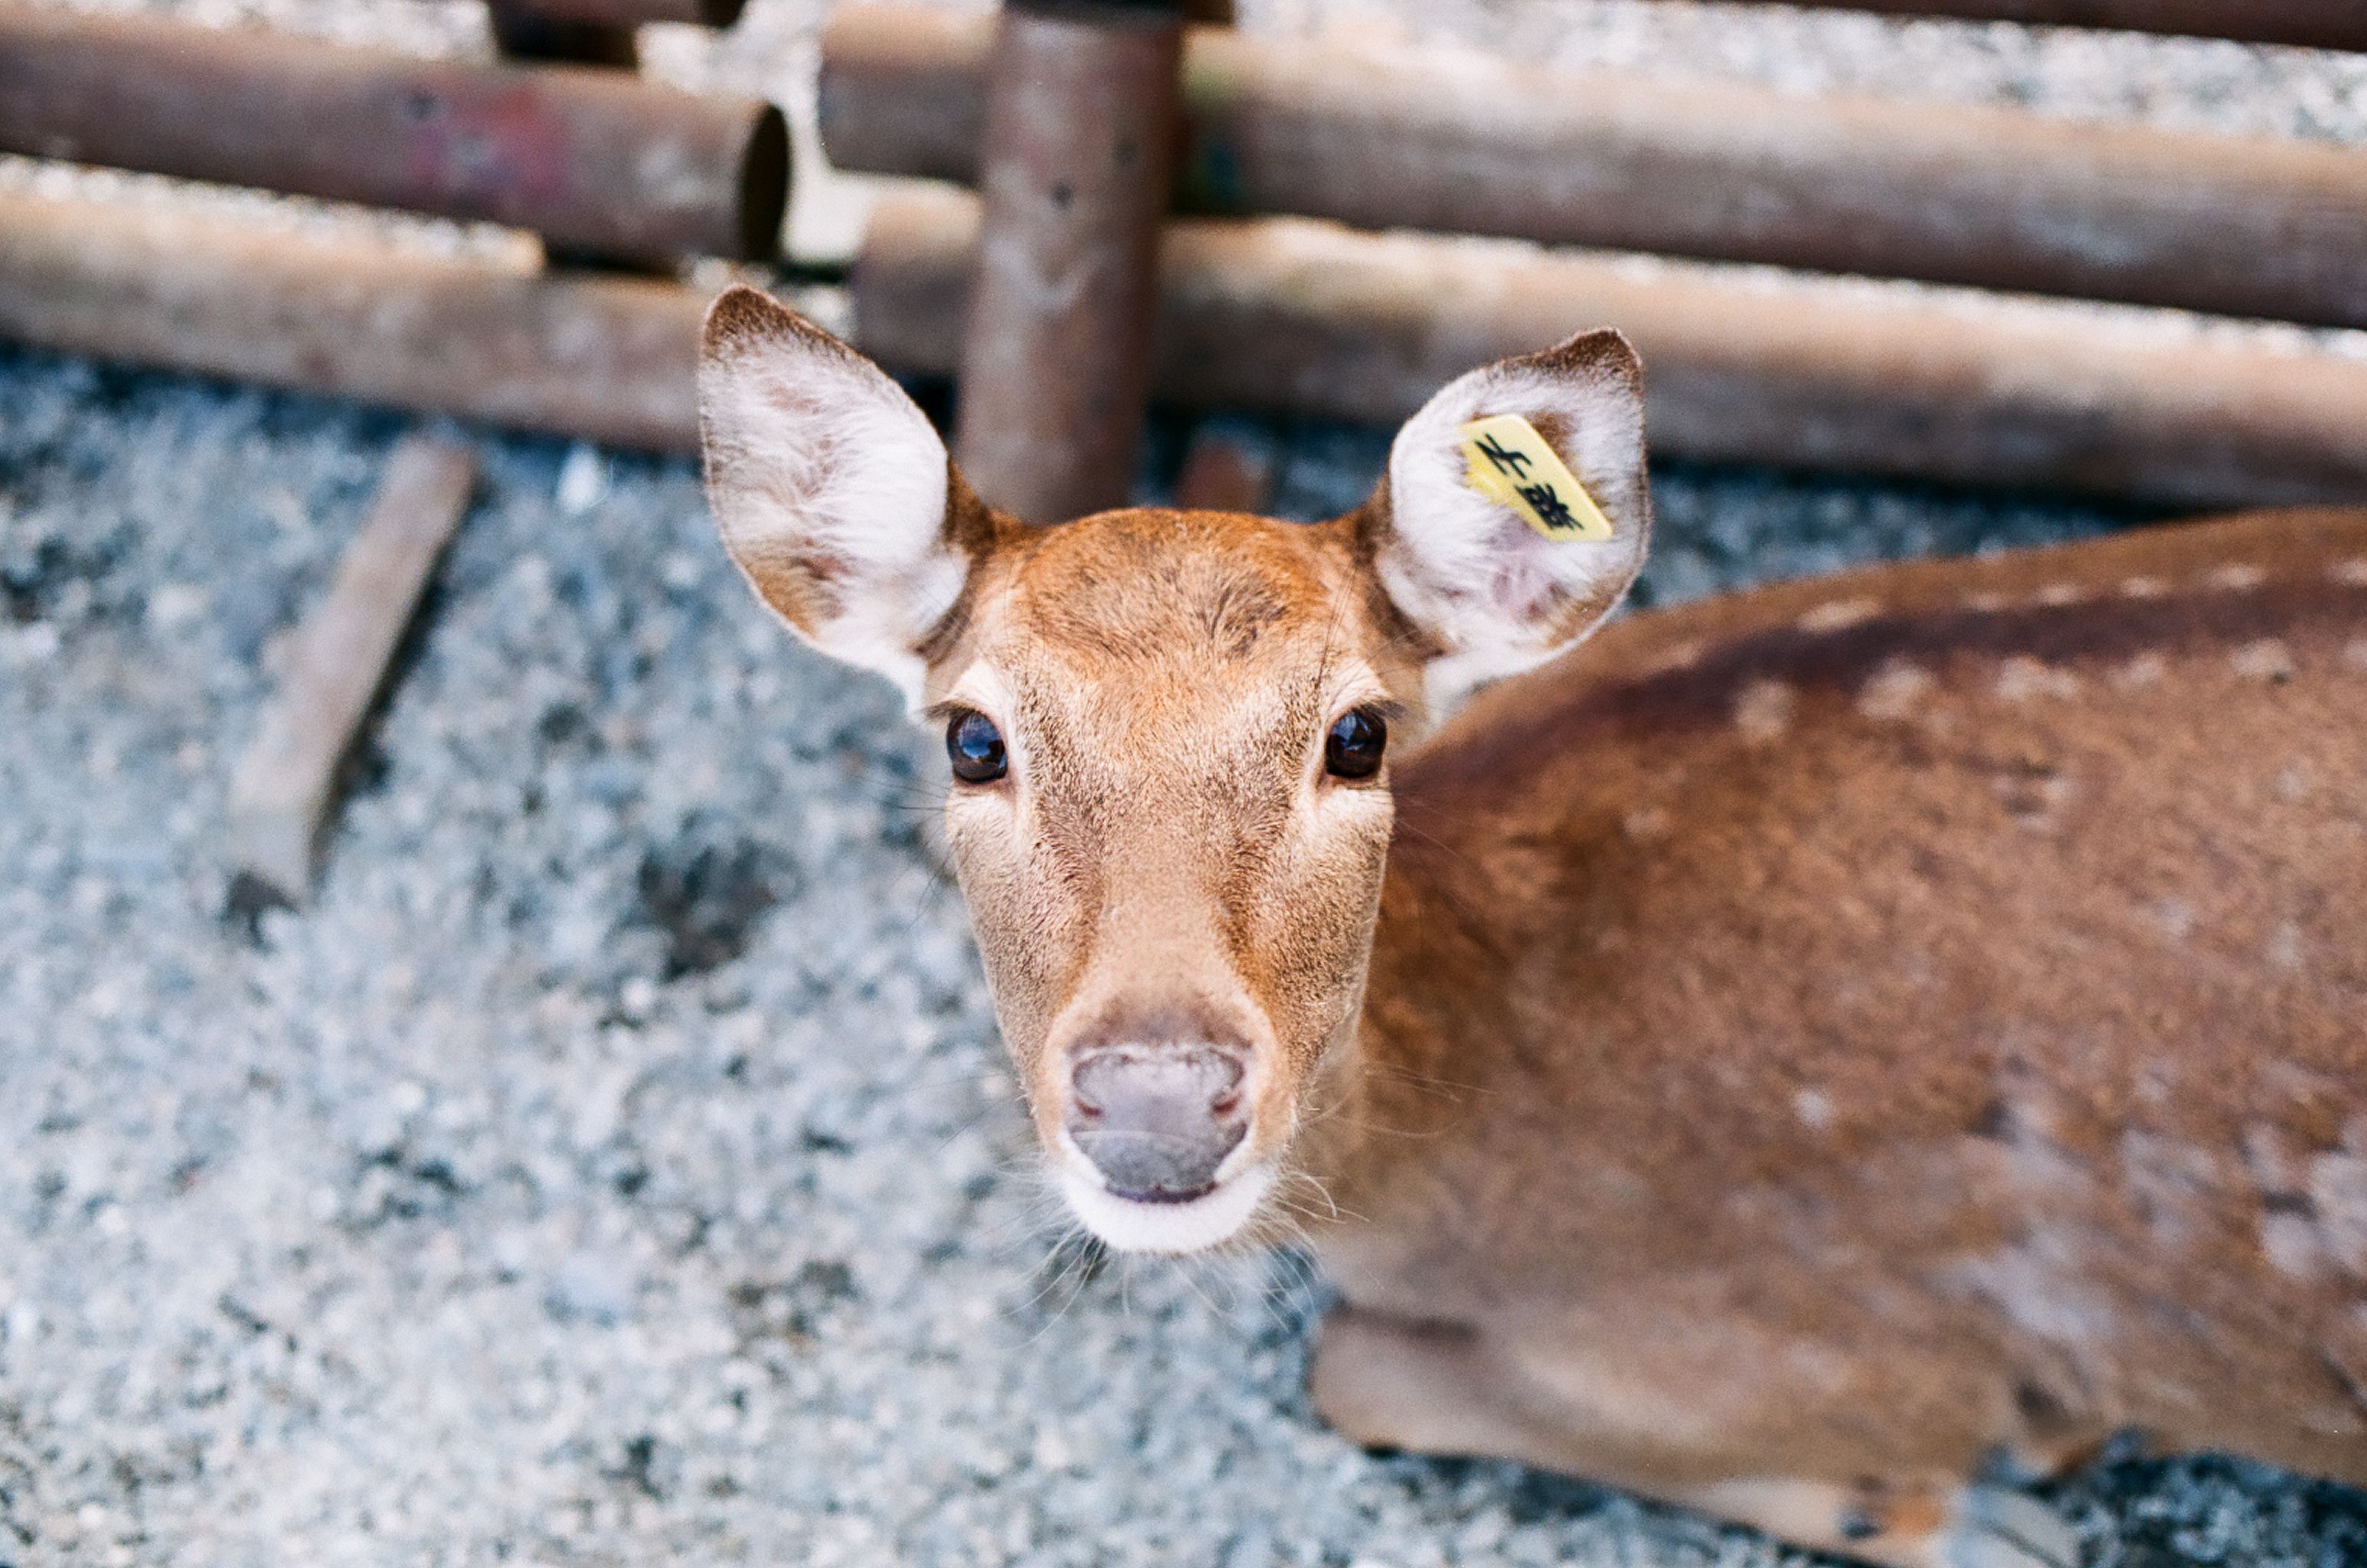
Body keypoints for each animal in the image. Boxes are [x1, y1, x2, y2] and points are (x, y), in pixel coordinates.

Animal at [694, 284, 2367, 1568]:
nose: (1159, 1100)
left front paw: (1972, 1500)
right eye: (973, 737)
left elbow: (1353, 1365)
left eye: (1358, 732)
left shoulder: (1815, 1335)